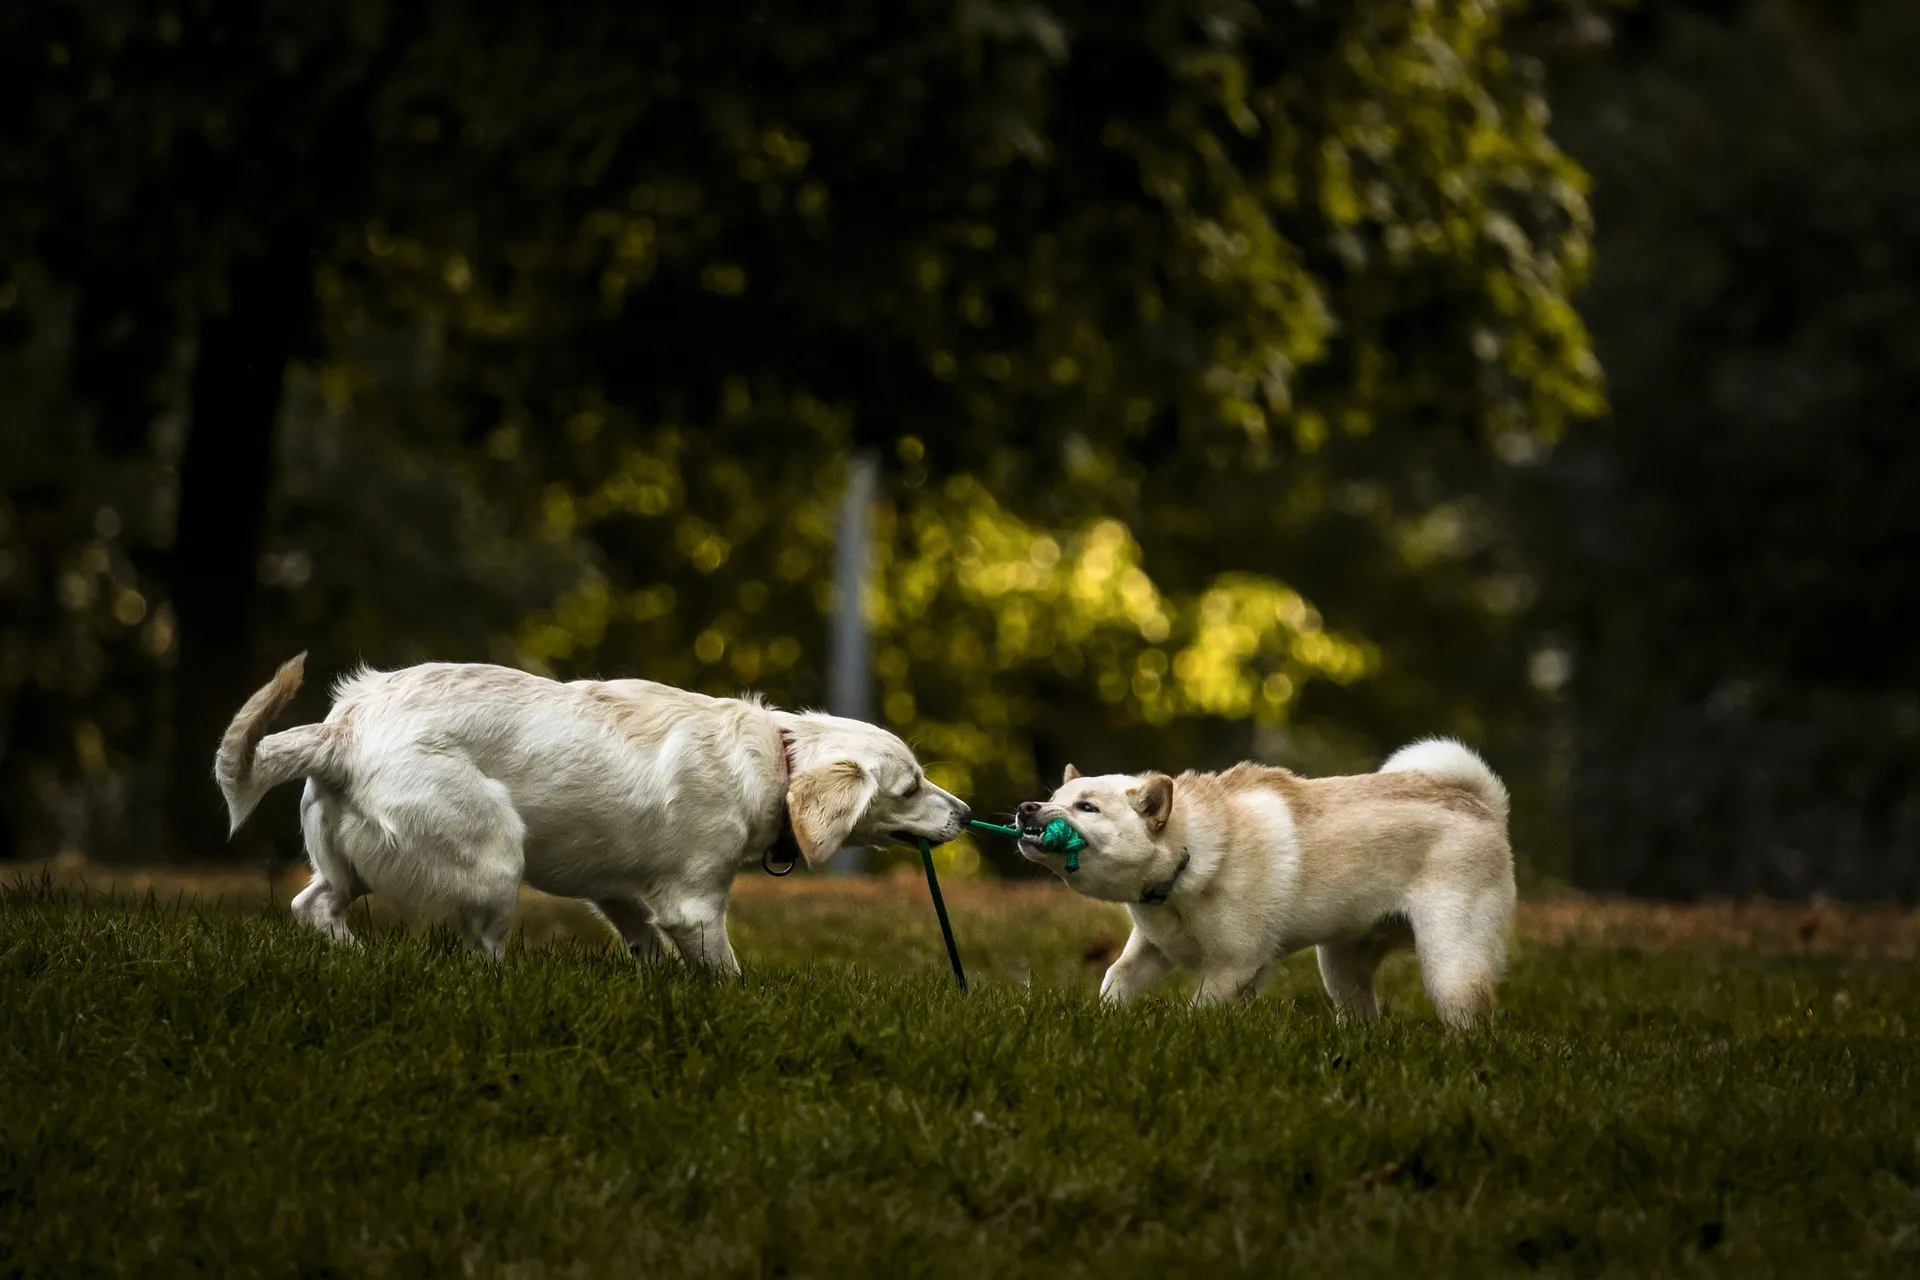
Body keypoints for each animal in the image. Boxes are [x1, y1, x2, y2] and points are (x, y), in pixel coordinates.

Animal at [216, 656, 967, 967]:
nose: (964, 814)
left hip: (347, 866)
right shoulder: (694, 904)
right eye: (910, 788)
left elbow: (645, 948)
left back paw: (355, 957)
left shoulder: (625, 896)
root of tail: (342, 730)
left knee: (311, 906)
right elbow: (724, 970)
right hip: (493, 856)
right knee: (479, 950)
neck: (776, 759)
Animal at [1021, 736, 1512, 1028]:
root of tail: (1482, 806)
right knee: (1363, 1016)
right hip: (1340, 966)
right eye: (1053, 798)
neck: (1187, 856)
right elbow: (1116, 978)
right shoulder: (1153, 952)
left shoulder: (1232, 967)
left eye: (1087, 808)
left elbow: (1198, 1011)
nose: (1027, 808)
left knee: (1469, 1018)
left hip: (1449, 968)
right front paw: (1107, 1020)